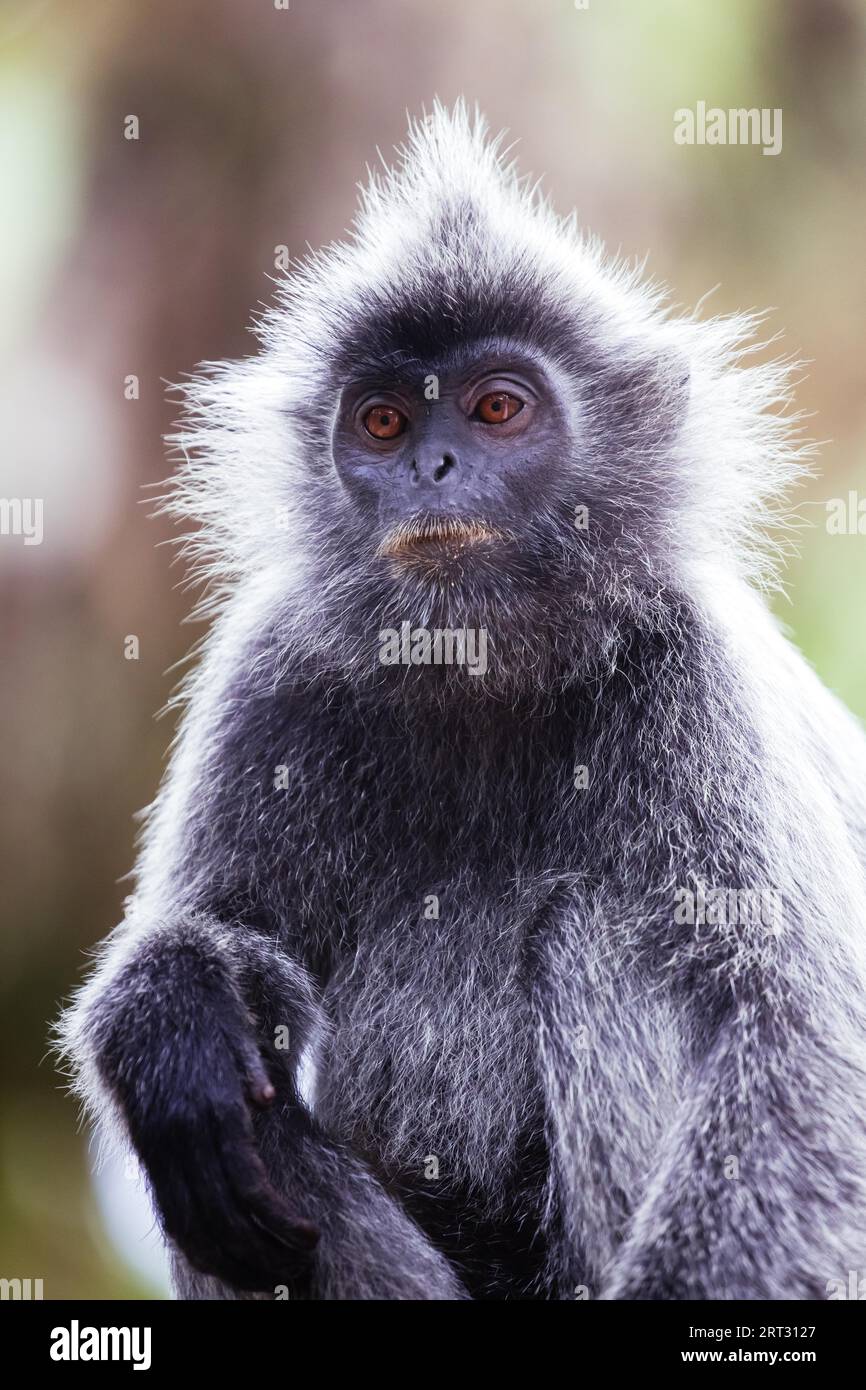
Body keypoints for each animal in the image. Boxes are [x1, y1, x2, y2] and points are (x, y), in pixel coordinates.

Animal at [56, 102, 866, 1301]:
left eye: (494, 409)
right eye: (384, 424)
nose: (432, 469)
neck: (485, 673)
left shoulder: (696, 670)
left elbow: (798, 1044)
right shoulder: (273, 668)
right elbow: (213, 946)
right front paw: (168, 1013)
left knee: (593, 931)